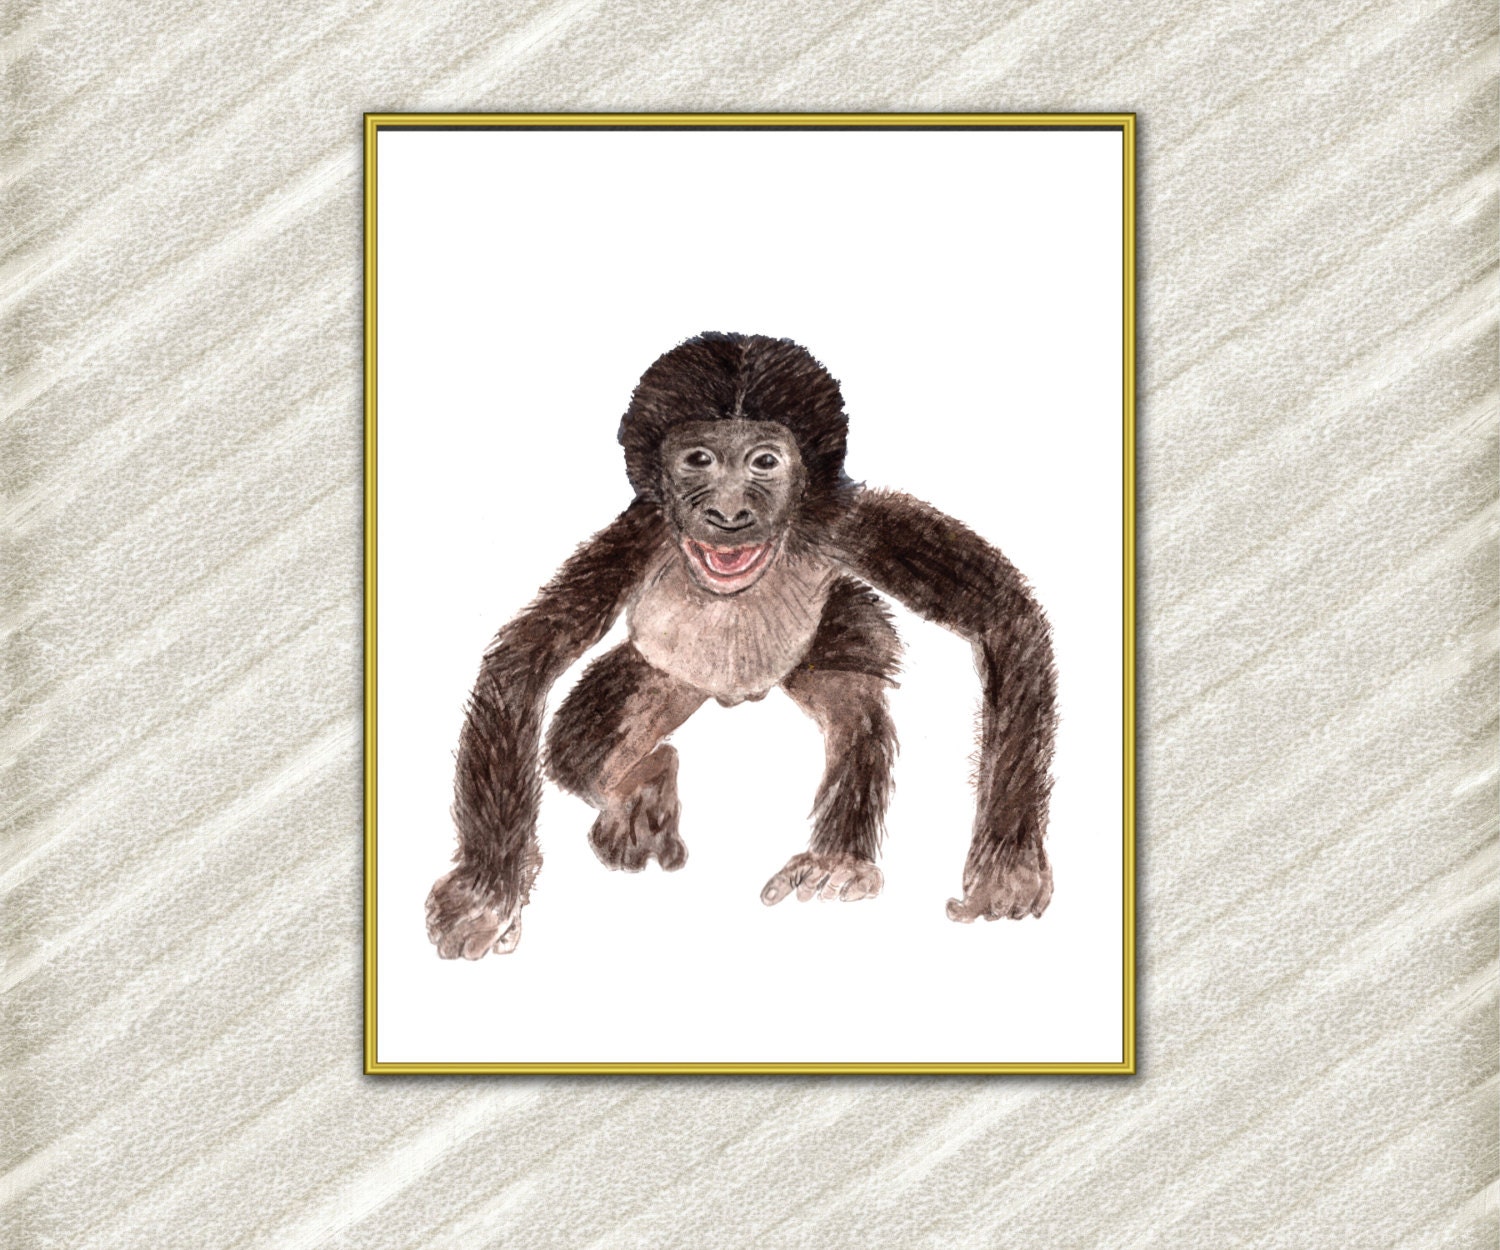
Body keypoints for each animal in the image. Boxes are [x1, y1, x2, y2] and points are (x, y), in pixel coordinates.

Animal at [425, 332, 1057, 959]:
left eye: (765, 462)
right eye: (699, 460)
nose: (729, 512)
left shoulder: (841, 523)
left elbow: (1002, 612)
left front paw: (1007, 867)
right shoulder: (636, 539)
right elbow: (524, 660)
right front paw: (487, 892)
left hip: (831, 632)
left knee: (854, 710)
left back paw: (835, 861)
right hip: (660, 678)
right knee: (578, 748)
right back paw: (642, 785)